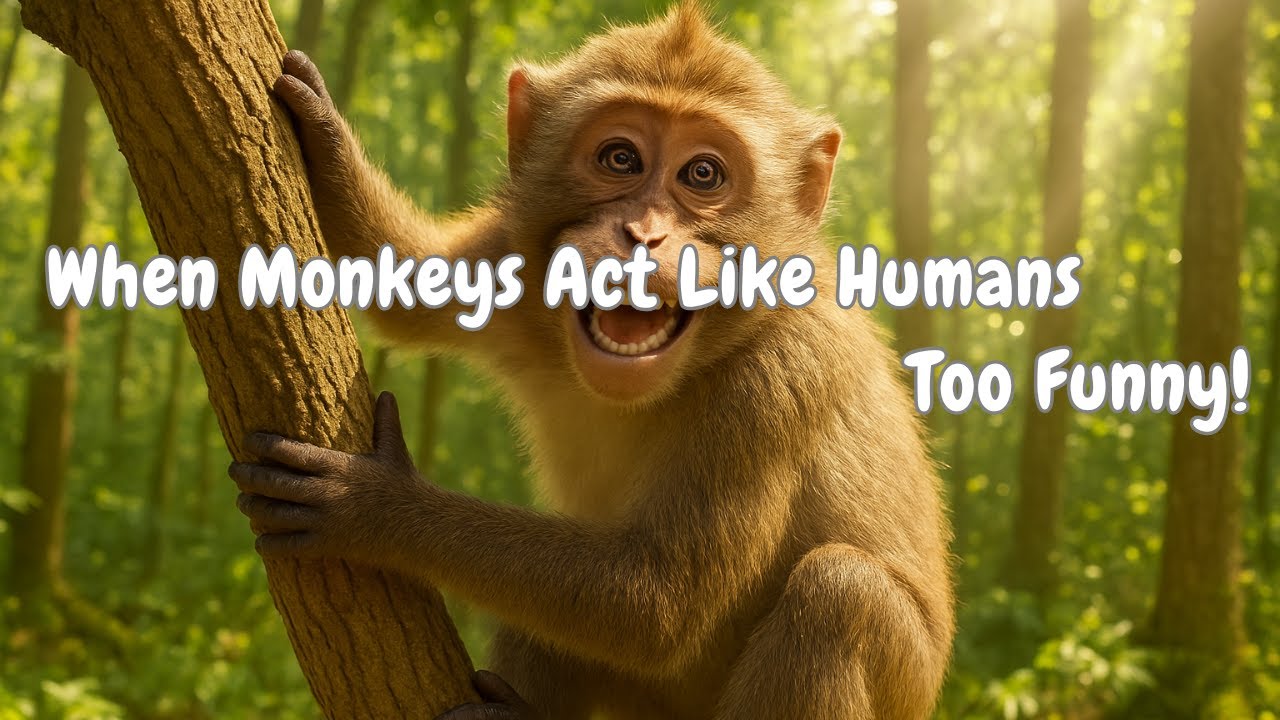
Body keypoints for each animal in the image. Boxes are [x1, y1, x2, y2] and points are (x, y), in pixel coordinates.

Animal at [231, 4, 954, 718]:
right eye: (620, 158)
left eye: (703, 174)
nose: (643, 234)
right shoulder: (515, 258)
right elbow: (405, 290)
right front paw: (323, 137)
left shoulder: (782, 376)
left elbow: (660, 602)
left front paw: (376, 504)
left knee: (842, 594)